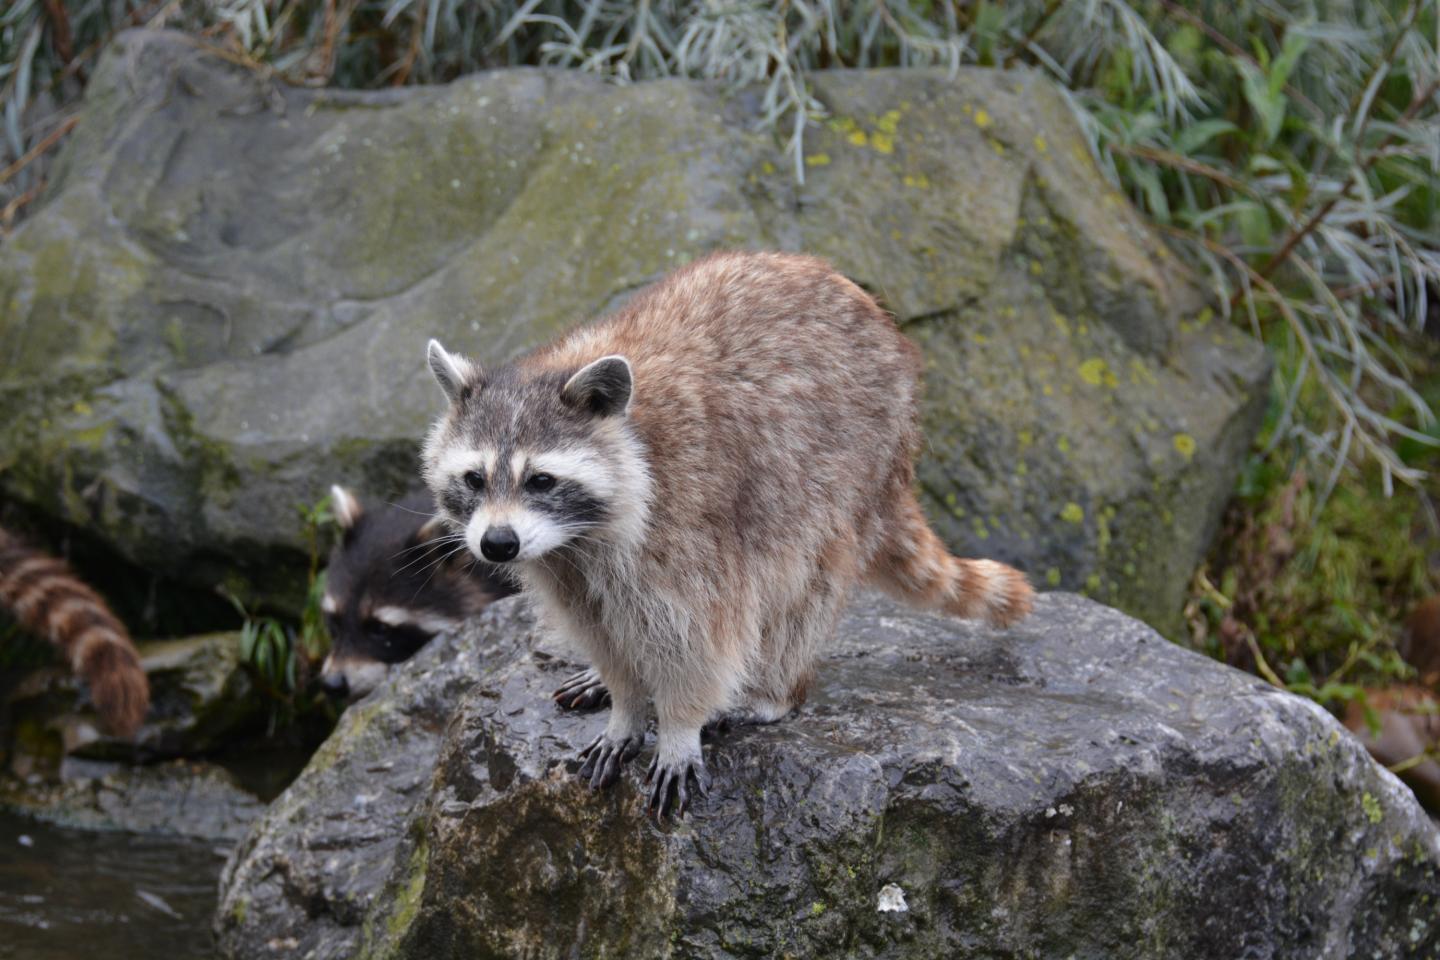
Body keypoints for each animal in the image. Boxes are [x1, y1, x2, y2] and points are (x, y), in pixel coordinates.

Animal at [422, 251, 1034, 817]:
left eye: (541, 480)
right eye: (475, 479)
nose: (497, 545)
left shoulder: (686, 526)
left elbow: (701, 640)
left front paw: (677, 726)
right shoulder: (564, 567)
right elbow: (600, 631)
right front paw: (624, 702)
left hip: (853, 467)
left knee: (803, 591)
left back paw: (773, 692)